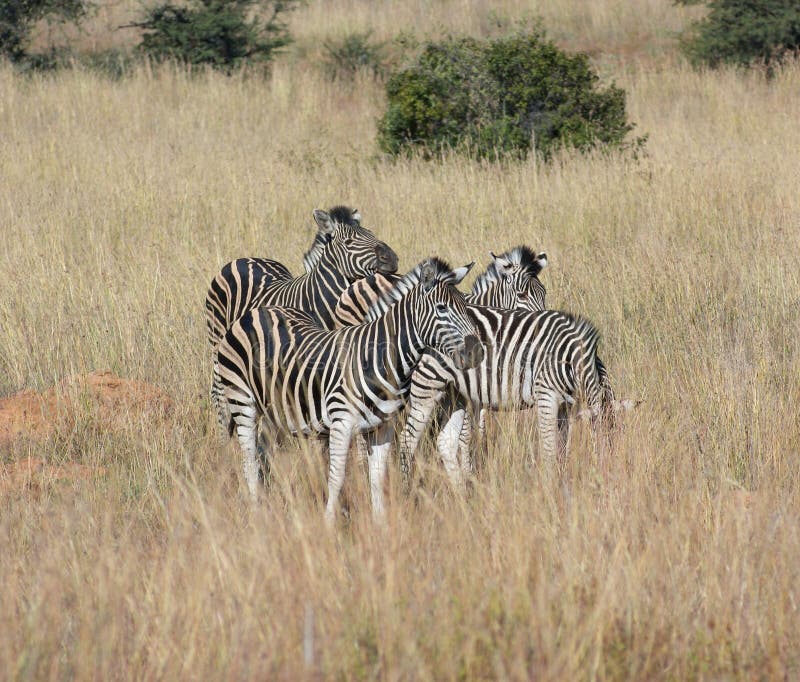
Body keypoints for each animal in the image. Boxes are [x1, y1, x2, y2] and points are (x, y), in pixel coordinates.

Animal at [212, 258, 484, 523]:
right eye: (442, 308)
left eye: (466, 308)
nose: (477, 352)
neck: (380, 360)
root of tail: (255, 312)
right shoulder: (341, 425)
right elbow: (337, 477)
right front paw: (329, 525)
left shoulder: (382, 428)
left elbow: (377, 478)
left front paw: (380, 525)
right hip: (242, 401)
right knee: (249, 459)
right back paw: (256, 512)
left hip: (276, 408)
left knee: (263, 452)